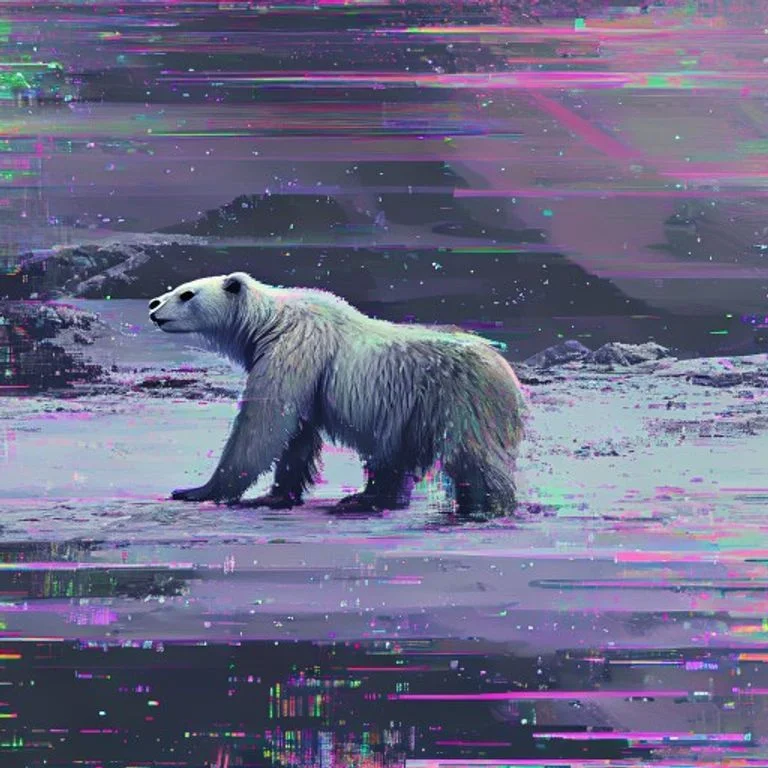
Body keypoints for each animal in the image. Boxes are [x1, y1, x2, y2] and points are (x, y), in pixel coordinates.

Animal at [148, 272, 527, 518]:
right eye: (176, 289)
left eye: (186, 294)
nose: (153, 305)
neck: (269, 322)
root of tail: (508, 377)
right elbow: (297, 435)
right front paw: (274, 496)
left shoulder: (295, 350)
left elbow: (264, 424)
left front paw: (197, 490)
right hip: (415, 411)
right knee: (395, 456)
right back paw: (366, 498)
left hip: (457, 400)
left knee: (471, 456)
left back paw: (484, 507)